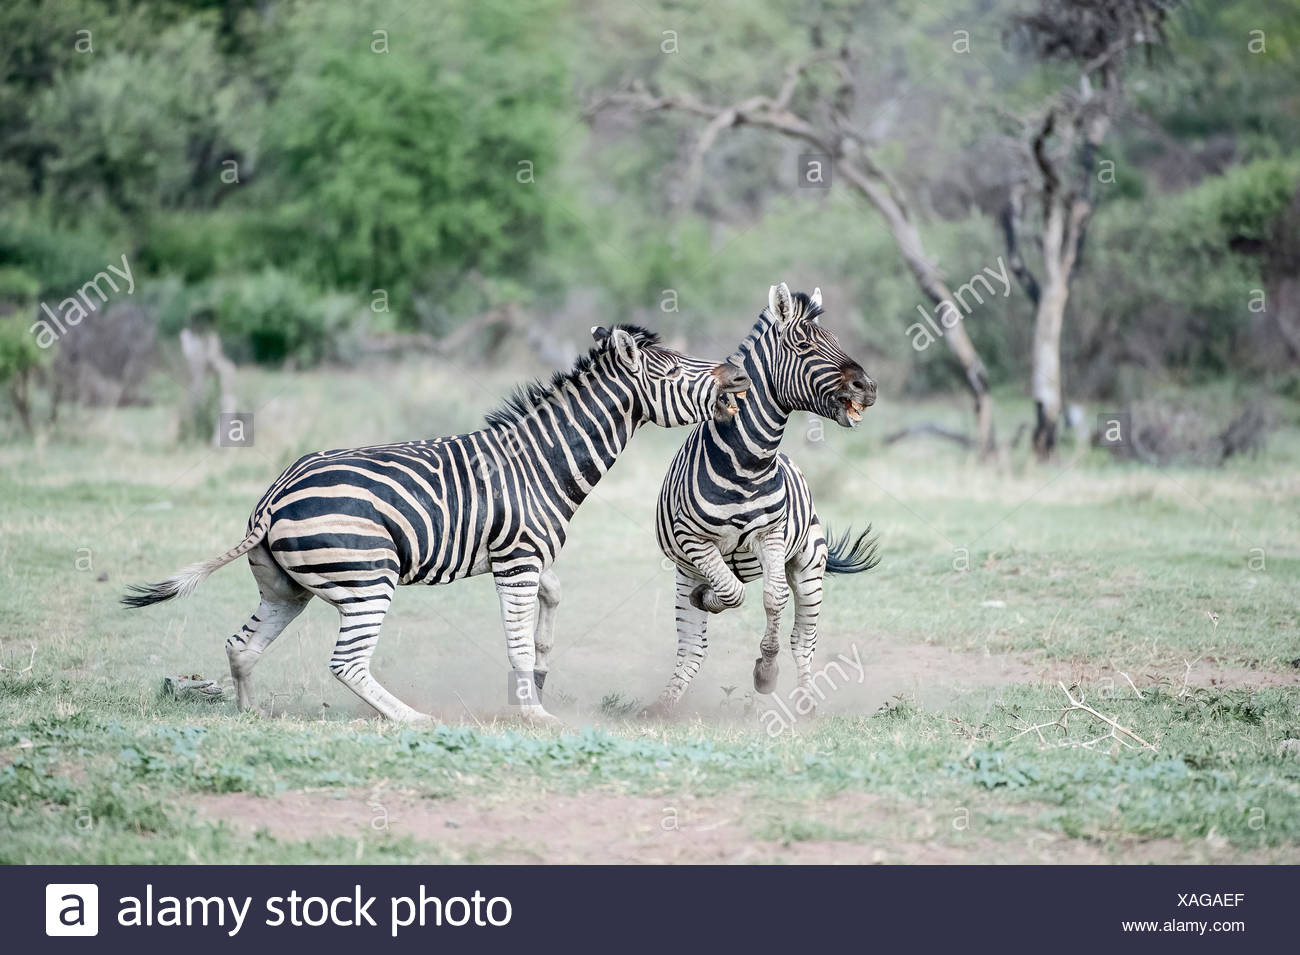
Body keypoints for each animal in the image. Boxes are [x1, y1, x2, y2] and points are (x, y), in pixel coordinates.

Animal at [123, 325, 750, 725]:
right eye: (677, 368)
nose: (737, 379)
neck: (541, 461)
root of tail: (271, 501)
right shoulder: (516, 561)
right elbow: (516, 640)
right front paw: (533, 710)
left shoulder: (527, 558)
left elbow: (551, 604)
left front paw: (545, 663)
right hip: (368, 578)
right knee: (346, 662)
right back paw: (412, 718)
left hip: (286, 589)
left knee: (241, 648)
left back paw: (249, 713)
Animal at [647, 282, 879, 713]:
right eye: (803, 344)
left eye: (837, 340)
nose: (869, 388)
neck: (749, 461)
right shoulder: (693, 542)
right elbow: (730, 593)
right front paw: (708, 598)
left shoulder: (770, 536)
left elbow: (773, 599)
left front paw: (766, 672)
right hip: (684, 570)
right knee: (692, 645)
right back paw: (665, 704)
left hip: (809, 562)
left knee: (803, 640)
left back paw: (805, 703)